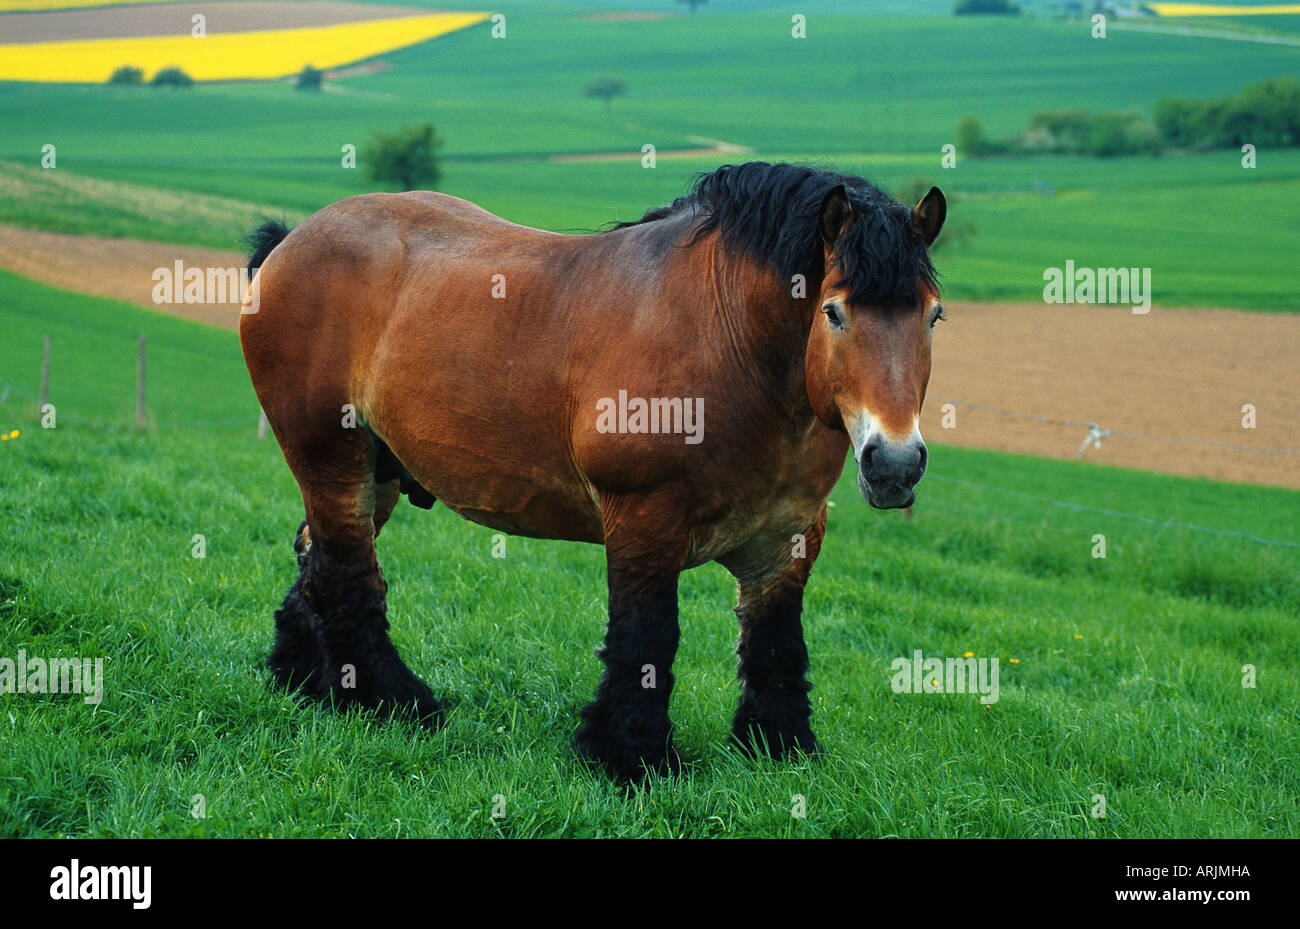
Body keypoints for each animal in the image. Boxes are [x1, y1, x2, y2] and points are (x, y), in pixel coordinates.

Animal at [239, 162, 945, 782]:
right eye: (834, 311)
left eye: (933, 315)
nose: (895, 462)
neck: (727, 343)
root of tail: (291, 242)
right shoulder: (644, 521)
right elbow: (646, 639)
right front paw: (630, 756)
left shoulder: (787, 539)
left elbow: (777, 645)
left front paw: (780, 748)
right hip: (331, 459)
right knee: (345, 578)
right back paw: (397, 703)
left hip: (374, 474)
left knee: (315, 559)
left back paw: (304, 679)